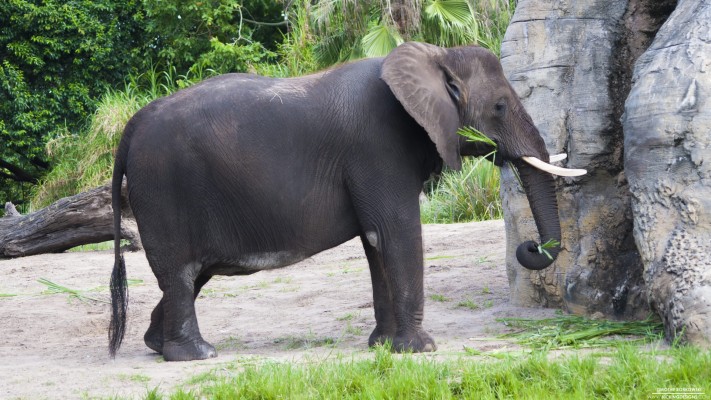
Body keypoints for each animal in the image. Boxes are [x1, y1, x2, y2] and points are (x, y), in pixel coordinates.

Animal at [108, 42, 585, 361]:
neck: (435, 56)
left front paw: (384, 347)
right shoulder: (377, 145)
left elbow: (376, 242)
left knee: (190, 276)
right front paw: (421, 350)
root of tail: (130, 127)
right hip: (163, 188)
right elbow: (396, 233)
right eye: (501, 107)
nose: (530, 247)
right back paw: (197, 355)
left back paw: (159, 346)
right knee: (180, 273)